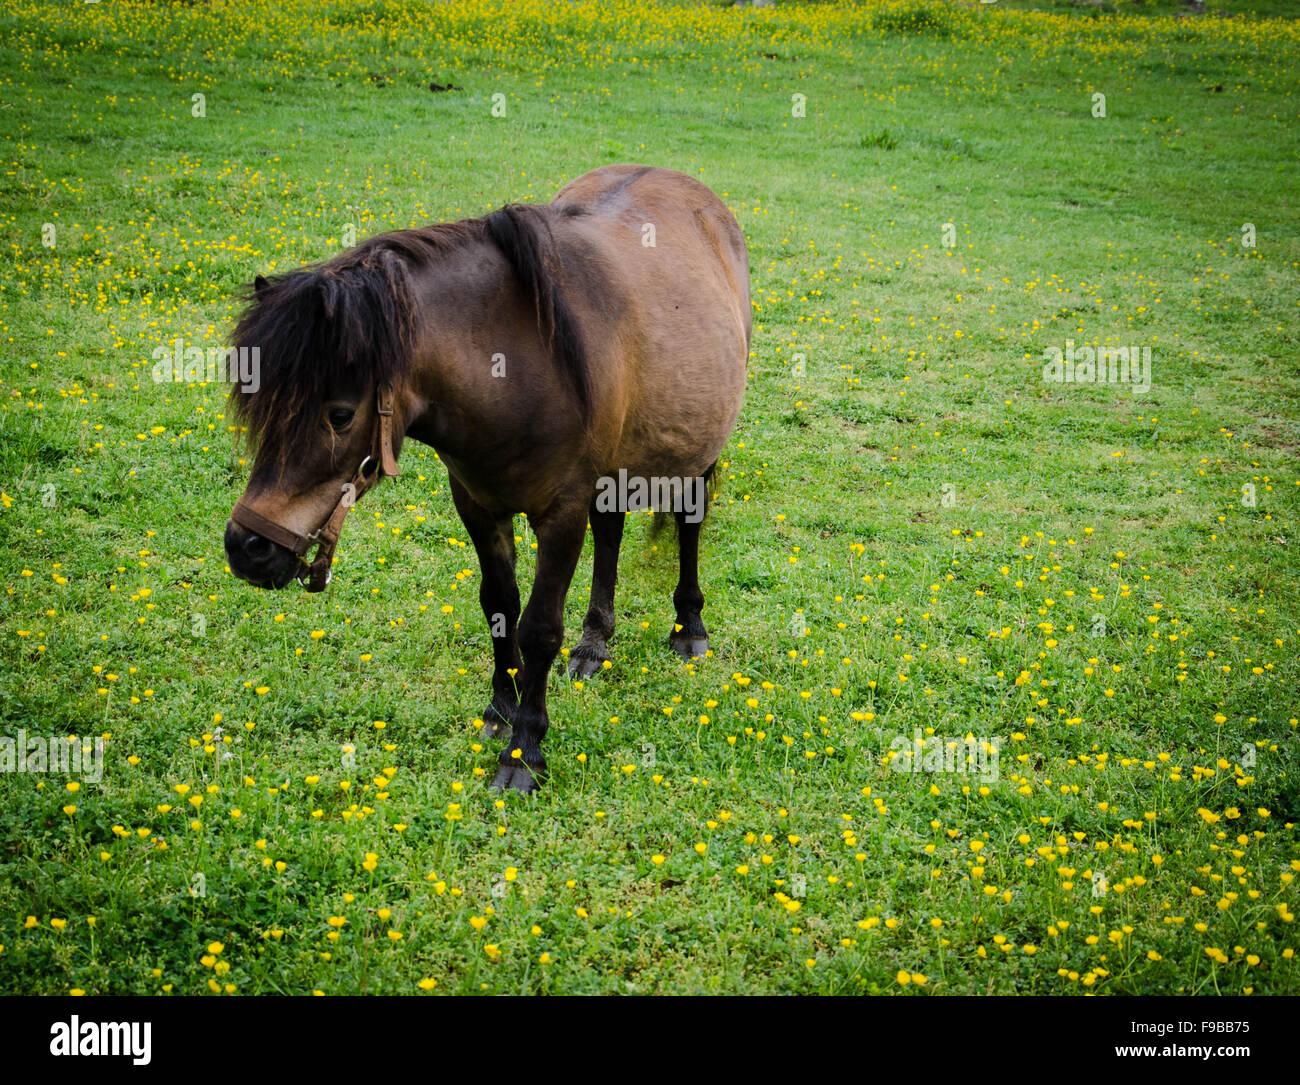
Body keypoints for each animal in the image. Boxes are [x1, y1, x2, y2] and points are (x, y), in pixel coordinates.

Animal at [223, 164, 751, 792]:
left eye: (341, 415)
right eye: (257, 405)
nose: (246, 548)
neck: (518, 364)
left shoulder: (561, 513)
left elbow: (538, 628)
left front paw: (524, 753)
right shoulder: (477, 503)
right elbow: (498, 606)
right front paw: (500, 710)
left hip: (697, 445)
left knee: (689, 521)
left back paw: (689, 625)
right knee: (612, 529)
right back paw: (595, 643)